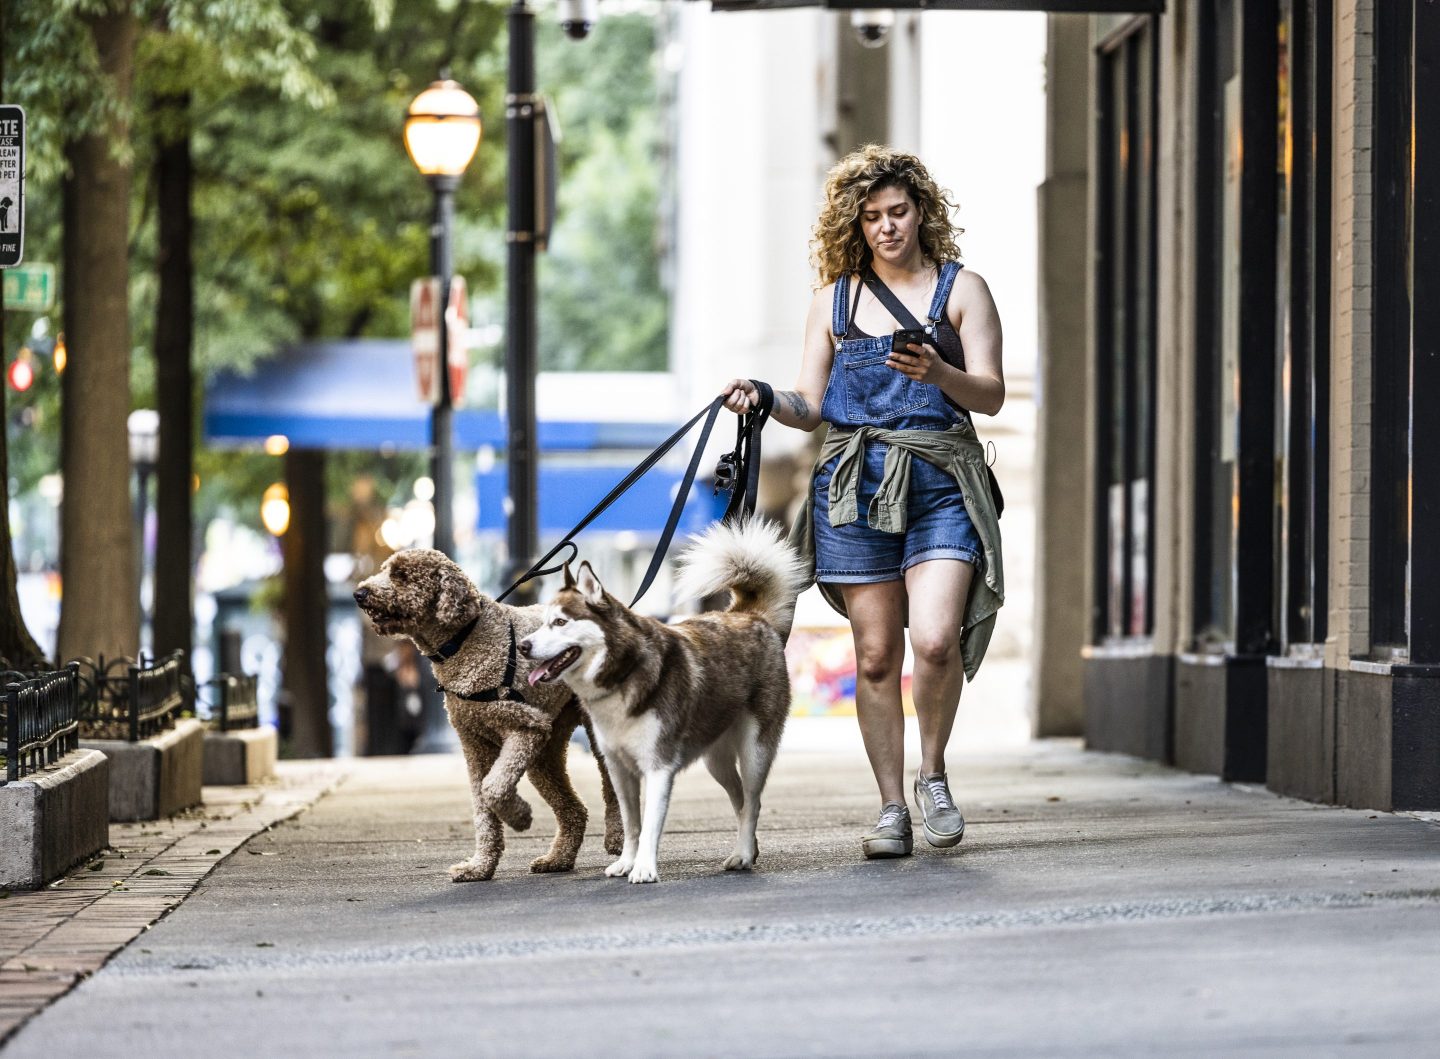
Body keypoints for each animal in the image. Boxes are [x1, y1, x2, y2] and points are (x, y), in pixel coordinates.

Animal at [352, 550, 619, 881]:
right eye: (385, 569)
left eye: (401, 575)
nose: (359, 593)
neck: (464, 640)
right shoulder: (475, 744)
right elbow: (482, 806)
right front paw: (479, 866)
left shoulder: (526, 727)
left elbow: (493, 788)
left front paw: (520, 817)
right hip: (546, 751)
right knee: (574, 810)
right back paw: (557, 859)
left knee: (614, 787)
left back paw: (618, 839)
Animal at [521, 518, 812, 881]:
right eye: (543, 623)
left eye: (560, 622)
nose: (523, 646)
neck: (623, 675)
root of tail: (749, 616)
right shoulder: (618, 768)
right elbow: (631, 824)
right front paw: (627, 862)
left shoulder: (659, 767)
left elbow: (649, 825)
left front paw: (644, 868)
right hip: (715, 759)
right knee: (741, 801)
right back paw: (748, 849)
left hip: (754, 751)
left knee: (753, 800)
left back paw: (743, 853)